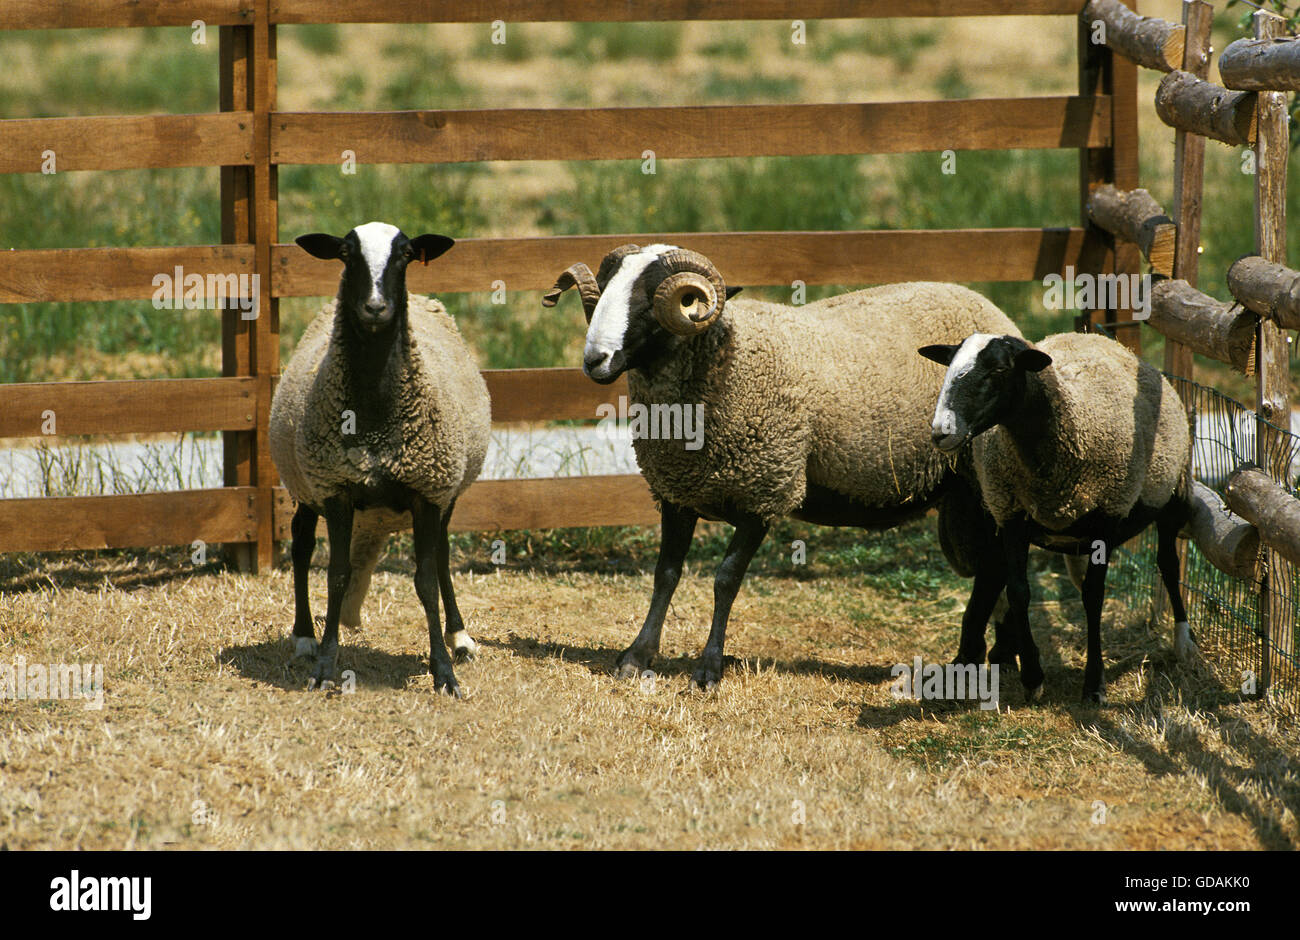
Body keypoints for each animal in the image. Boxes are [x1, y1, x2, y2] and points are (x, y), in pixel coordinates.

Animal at [269, 221, 491, 697]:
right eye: (346, 254)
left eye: (405, 254)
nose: (375, 307)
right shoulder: (335, 489)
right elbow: (337, 575)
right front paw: (325, 666)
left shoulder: (428, 492)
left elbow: (425, 581)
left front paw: (444, 671)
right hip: (304, 484)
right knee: (301, 545)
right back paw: (303, 638)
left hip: (446, 491)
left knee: (442, 553)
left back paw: (460, 636)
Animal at [543, 243, 1022, 689]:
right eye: (604, 291)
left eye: (647, 302)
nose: (594, 362)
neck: (730, 360)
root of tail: (994, 312)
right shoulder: (677, 492)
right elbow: (666, 574)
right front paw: (636, 657)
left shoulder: (765, 491)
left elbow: (725, 580)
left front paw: (709, 668)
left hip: (986, 487)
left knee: (996, 570)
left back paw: (985, 661)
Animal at [919, 331, 1193, 703]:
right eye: (948, 365)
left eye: (1000, 369)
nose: (941, 432)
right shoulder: (1011, 516)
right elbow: (1019, 591)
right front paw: (1033, 677)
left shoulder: (1107, 518)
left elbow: (1094, 596)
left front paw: (1094, 684)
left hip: (1173, 495)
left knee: (1168, 563)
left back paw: (1183, 640)